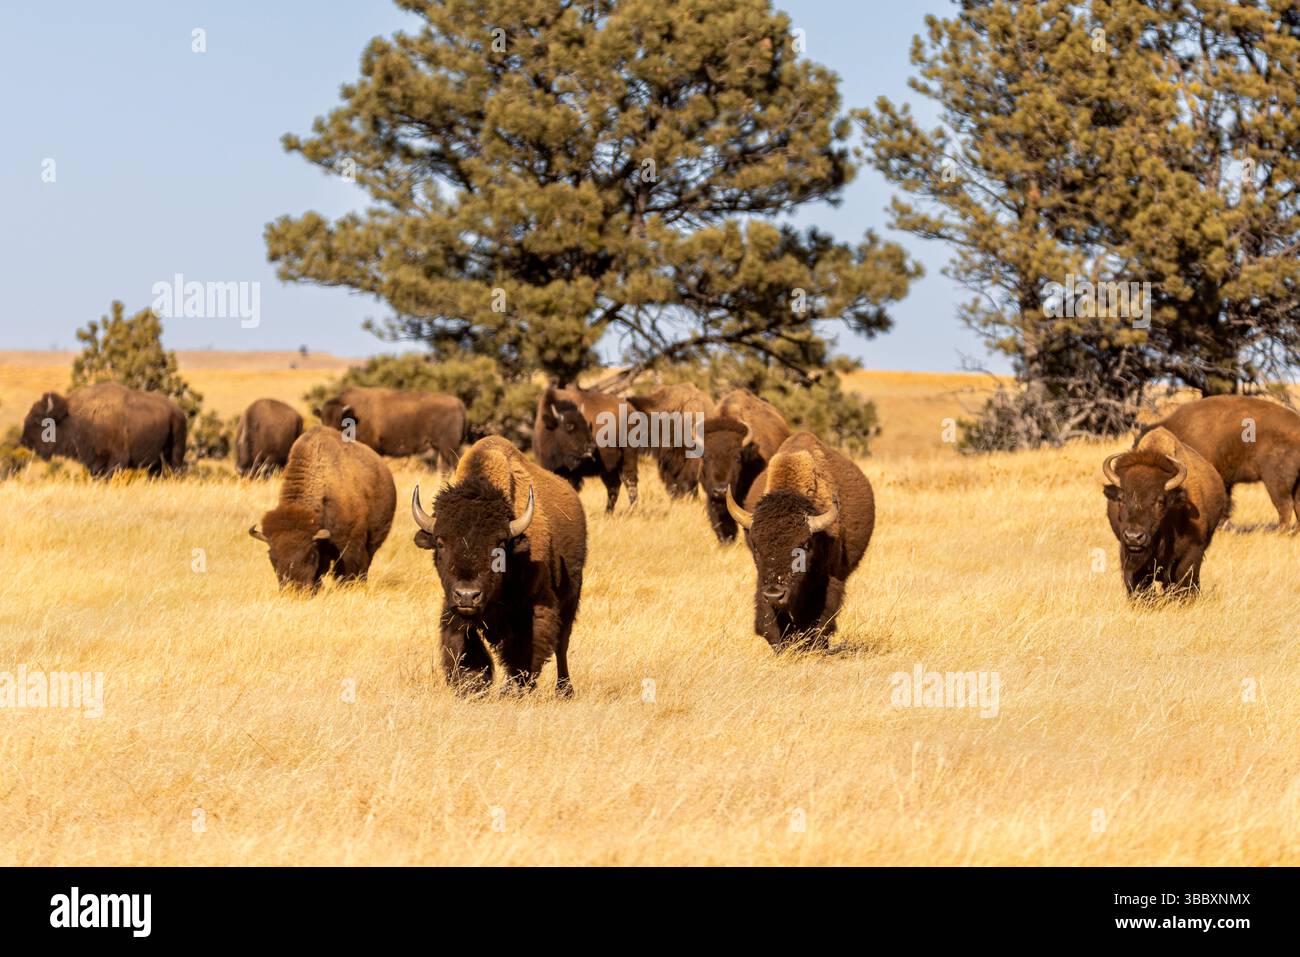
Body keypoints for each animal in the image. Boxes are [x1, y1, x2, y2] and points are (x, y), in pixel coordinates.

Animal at [21, 382, 186, 476]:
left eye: (37, 420)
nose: (24, 441)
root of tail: (179, 411)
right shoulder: (94, 462)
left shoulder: (116, 459)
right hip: (156, 461)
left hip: (175, 452)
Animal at [411, 435, 587, 696]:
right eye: (440, 542)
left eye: (500, 543)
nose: (467, 595)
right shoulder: (454, 610)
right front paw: (471, 687)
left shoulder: (534, 608)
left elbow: (524, 654)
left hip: (571, 598)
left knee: (561, 646)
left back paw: (564, 690)